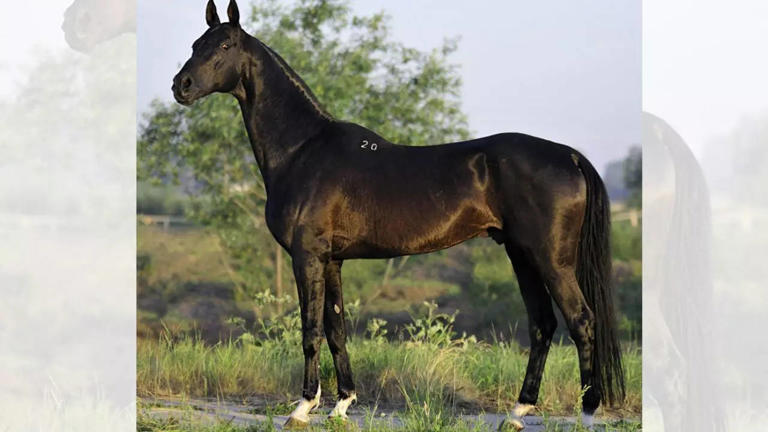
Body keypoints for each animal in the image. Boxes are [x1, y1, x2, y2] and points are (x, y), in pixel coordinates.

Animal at [172, 1, 625, 429]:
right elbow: (336, 328)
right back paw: (517, 412)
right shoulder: (332, 259)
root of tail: (569, 156)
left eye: (225, 46)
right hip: (521, 254)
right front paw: (342, 405)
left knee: (581, 322)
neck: (303, 150)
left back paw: (586, 413)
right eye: (195, 44)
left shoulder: (308, 255)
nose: (181, 86)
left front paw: (302, 408)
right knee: (542, 324)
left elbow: (311, 329)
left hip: (551, 259)